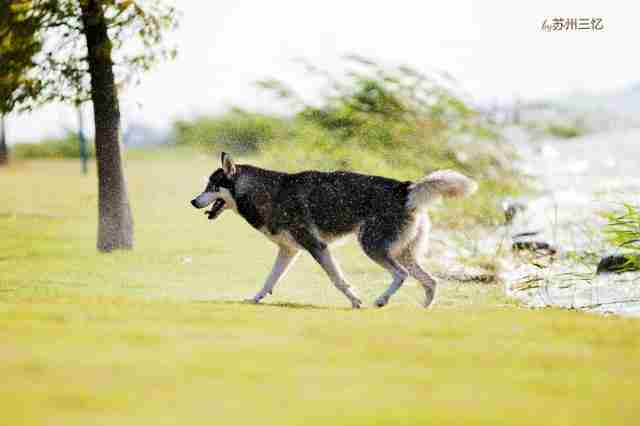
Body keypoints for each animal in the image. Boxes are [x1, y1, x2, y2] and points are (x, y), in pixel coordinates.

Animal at [189, 153, 476, 310]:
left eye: (212, 186)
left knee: (402, 275)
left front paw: (355, 301)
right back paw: (424, 308)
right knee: (431, 281)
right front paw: (255, 299)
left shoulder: (317, 247)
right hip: (402, 252)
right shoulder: (289, 250)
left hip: (373, 247)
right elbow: (269, 281)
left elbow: (338, 280)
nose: (192, 201)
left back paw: (381, 300)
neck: (268, 193)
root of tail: (406, 188)